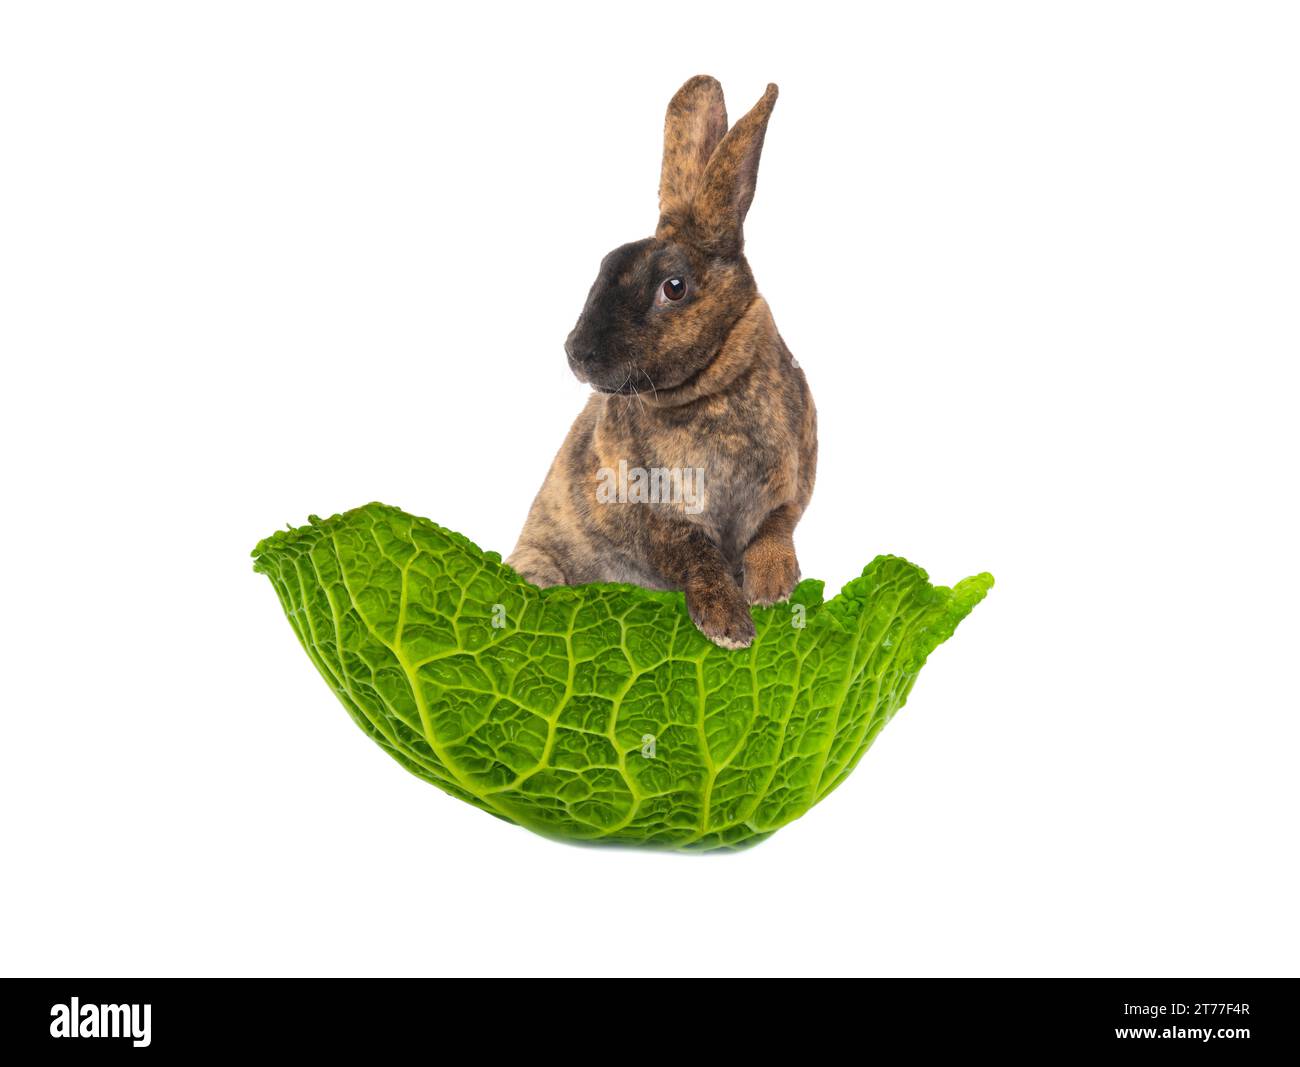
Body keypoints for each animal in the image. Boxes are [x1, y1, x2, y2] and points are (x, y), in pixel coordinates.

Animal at [507, 75, 817, 650]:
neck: (711, 389)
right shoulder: (653, 512)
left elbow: (774, 529)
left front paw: (772, 588)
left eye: (674, 287)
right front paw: (730, 627)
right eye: (604, 265)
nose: (576, 352)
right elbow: (696, 558)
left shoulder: (790, 487)